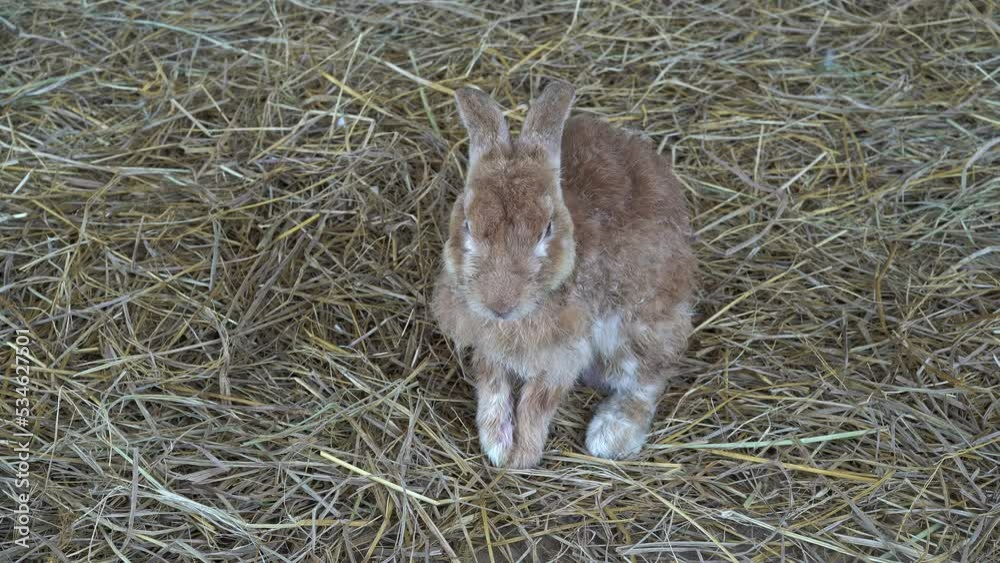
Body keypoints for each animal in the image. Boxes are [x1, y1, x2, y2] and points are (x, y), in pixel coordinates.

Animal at [432, 81, 696, 469]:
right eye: (467, 224)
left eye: (546, 229)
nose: (500, 305)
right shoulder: (488, 343)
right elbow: (492, 384)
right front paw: (497, 444)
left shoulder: (563, 353)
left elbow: (538, 403)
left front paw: (522, 457)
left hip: (643, 324)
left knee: (647, 379)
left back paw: (610, 436)